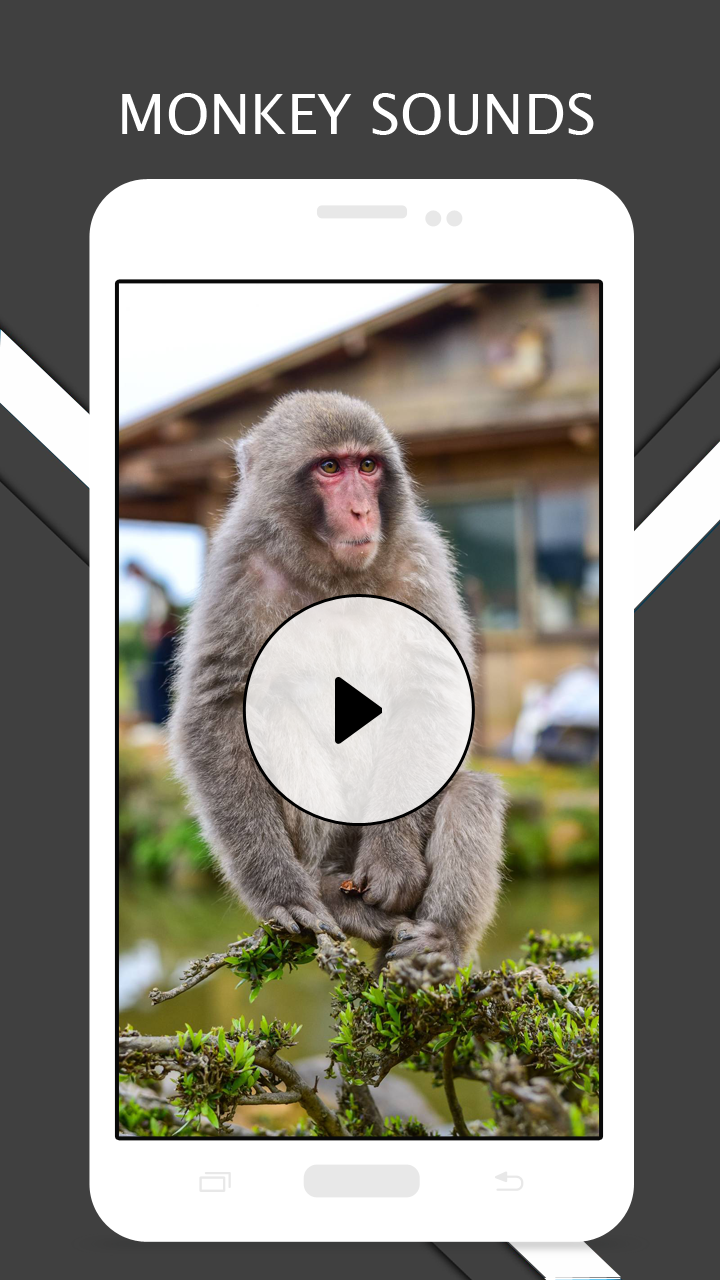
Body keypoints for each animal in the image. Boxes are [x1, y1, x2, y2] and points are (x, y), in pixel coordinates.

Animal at [169, 390, 505, 969]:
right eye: (330, 468)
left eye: (366, 466)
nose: (361, 510)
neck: (330, 574)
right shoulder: (237, 567)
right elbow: (218, 708)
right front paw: (280, 893)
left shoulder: (419, 561)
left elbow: (432, 694)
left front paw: (393, 862)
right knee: (267, 709)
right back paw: (329, 889)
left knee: (470, 791)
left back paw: (439, 941)